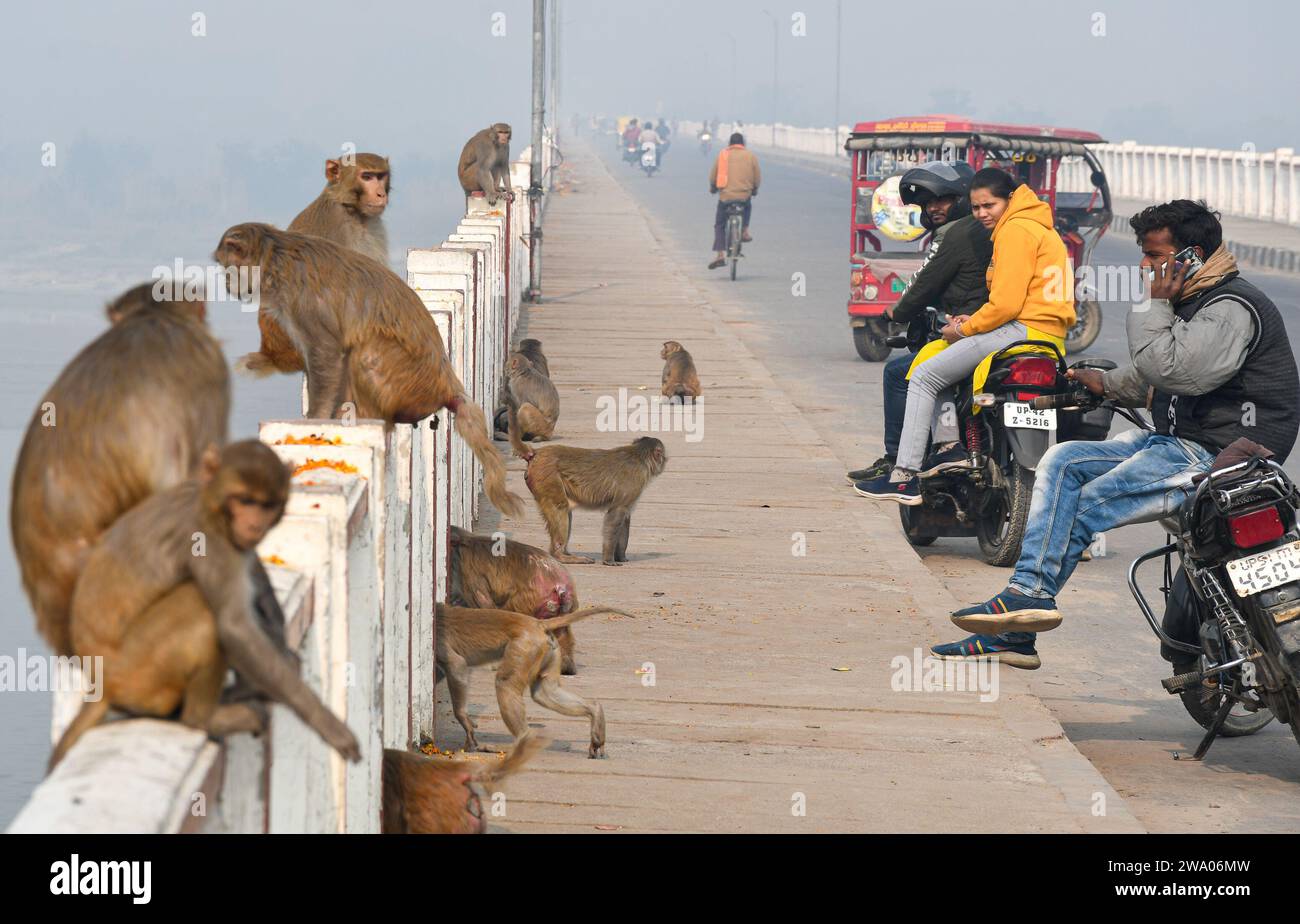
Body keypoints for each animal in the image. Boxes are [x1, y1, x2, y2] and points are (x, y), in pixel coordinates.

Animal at [49, 441, 361, 768]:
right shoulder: (210, 539)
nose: (254, 524)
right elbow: (234, 626)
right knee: (202, 610)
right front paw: (327, 724)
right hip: (137, 670)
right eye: (245, 500)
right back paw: (201, 719)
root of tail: (101, 681)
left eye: (266, 505)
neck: (211, 504)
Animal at [214, 223, 524, 518]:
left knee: (364, 353)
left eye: (227, 265)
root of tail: (448, 383)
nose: (227, 282)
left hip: (408, 384)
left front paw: (314, 420)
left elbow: (326, 354)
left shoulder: (301, 301)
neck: (274, 254)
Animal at [237, 153, 392, 377]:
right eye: (367, 177)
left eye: (381, 176)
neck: (350, 209)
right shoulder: (336, 228)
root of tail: (271, 353)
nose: (381, 194)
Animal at [437, 603, 628, 758]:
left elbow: (458, 666)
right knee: (543, 692)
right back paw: (595, 711)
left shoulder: (440, 642)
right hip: (547, 649)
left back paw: (519, 742)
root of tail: (538, 623)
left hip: (524, 646)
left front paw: (465, 723)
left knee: (505, 684)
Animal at [521, 437, 667, 566]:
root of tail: (536, 454)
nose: (664, 461)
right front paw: (609, 560)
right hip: (547, 476)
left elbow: (625, 518)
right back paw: (561, 555)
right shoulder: (634, 482)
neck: (639, 456)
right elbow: (616, 514)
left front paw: (621, 556)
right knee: (560, 507)